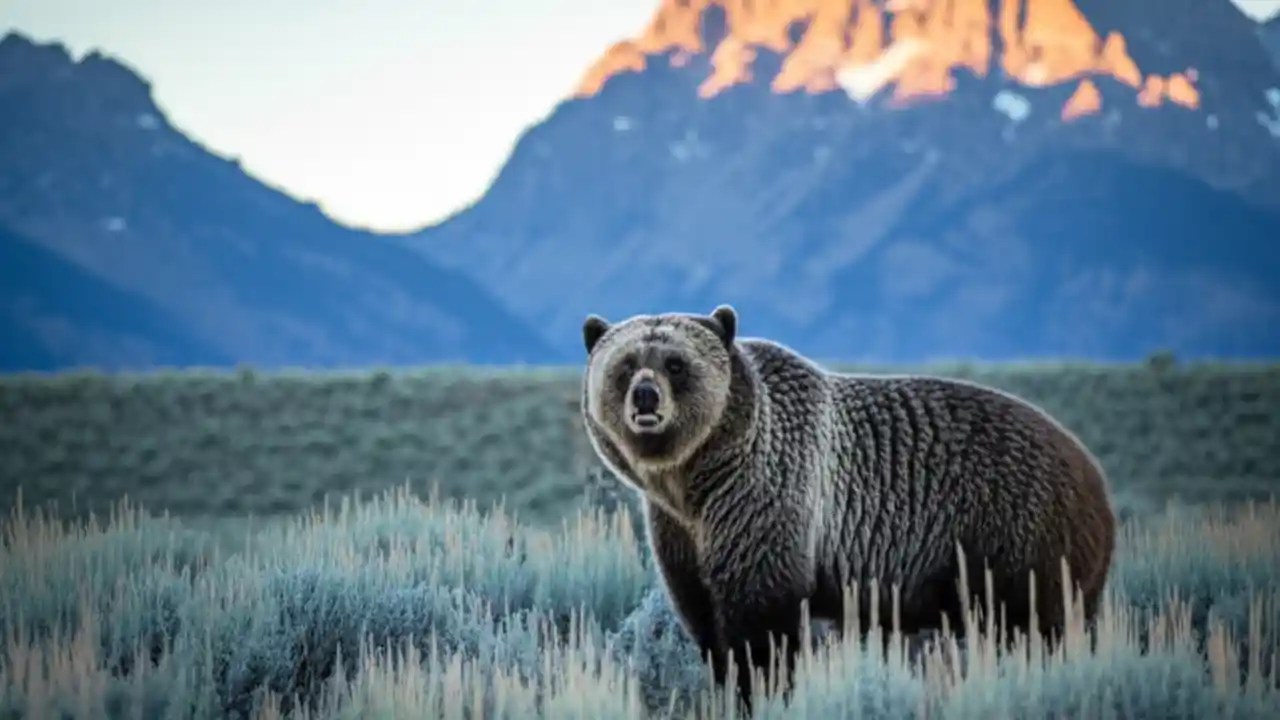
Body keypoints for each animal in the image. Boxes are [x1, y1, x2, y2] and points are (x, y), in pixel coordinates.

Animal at [579, 304, 1116, 712]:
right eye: (624, 364)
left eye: (675, 363)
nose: (644, 396)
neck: (697, 477)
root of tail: (1093, 472)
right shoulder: (680, 531)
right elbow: (704, 618)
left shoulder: (766, 499)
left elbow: (762, 622)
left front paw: (766, 689)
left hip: (1020, 532)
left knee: (1038, 626)